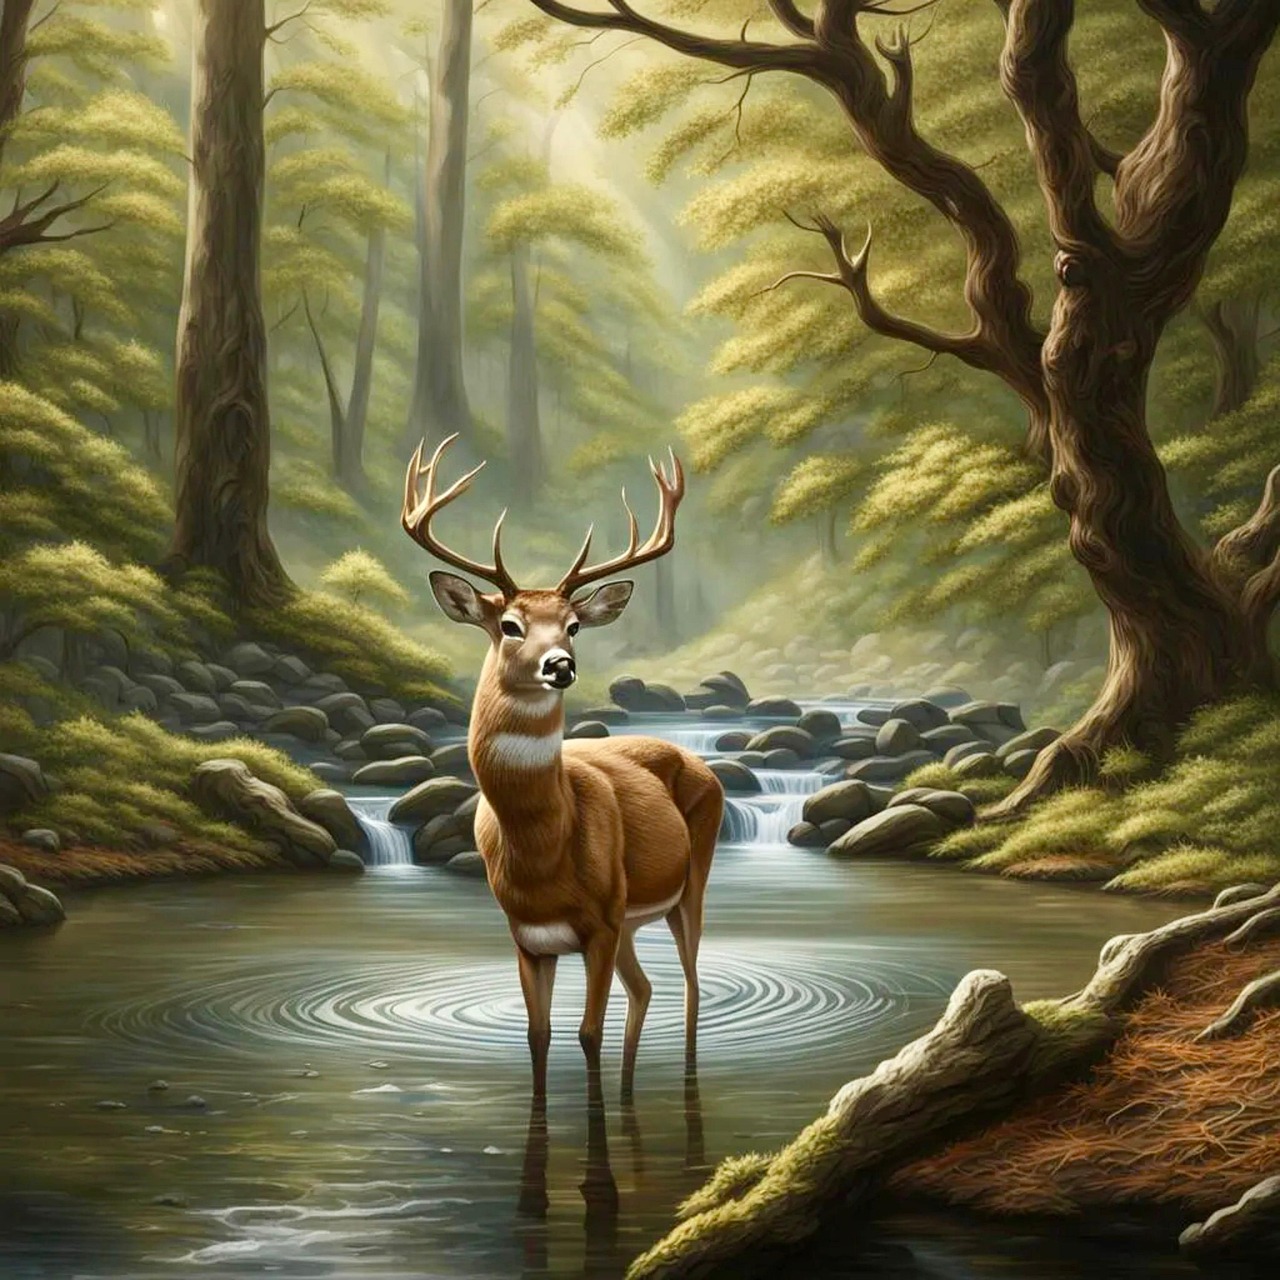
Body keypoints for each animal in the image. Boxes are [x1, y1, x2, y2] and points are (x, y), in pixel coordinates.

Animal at [401, 434, 723, 1103]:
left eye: (573, 626)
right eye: (508, 624)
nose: (560, 665)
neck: (544, 852)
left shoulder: (600, 922)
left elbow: (587, 1035)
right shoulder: (528, 936)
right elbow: (539, 1037)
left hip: (690, 884)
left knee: (690, 987)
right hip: (632, 921)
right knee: (646, 988)